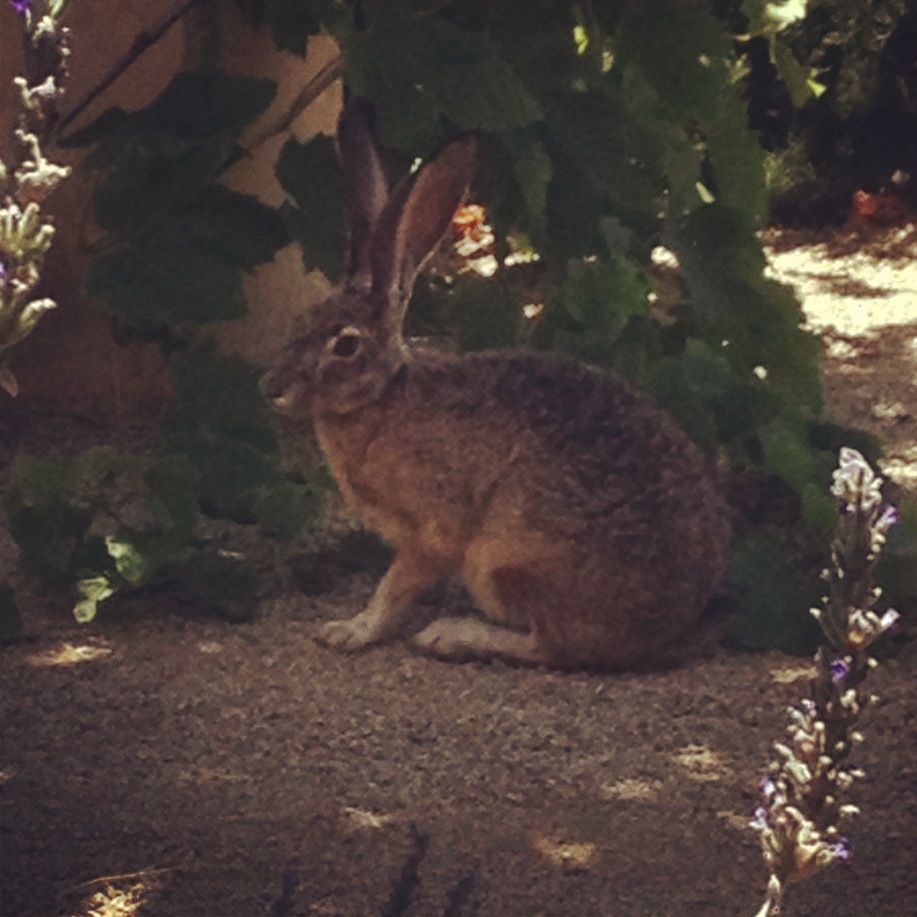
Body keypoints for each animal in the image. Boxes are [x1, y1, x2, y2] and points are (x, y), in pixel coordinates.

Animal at [260, 102, 732, 671]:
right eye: (301, 320)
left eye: (346, 345)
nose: (270, 388)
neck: (384, 401)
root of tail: (667, 629)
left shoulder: (434, 531)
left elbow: (394, 587)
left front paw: (350, 631)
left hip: (502, 559)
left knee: (553, 646)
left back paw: (449, 635)